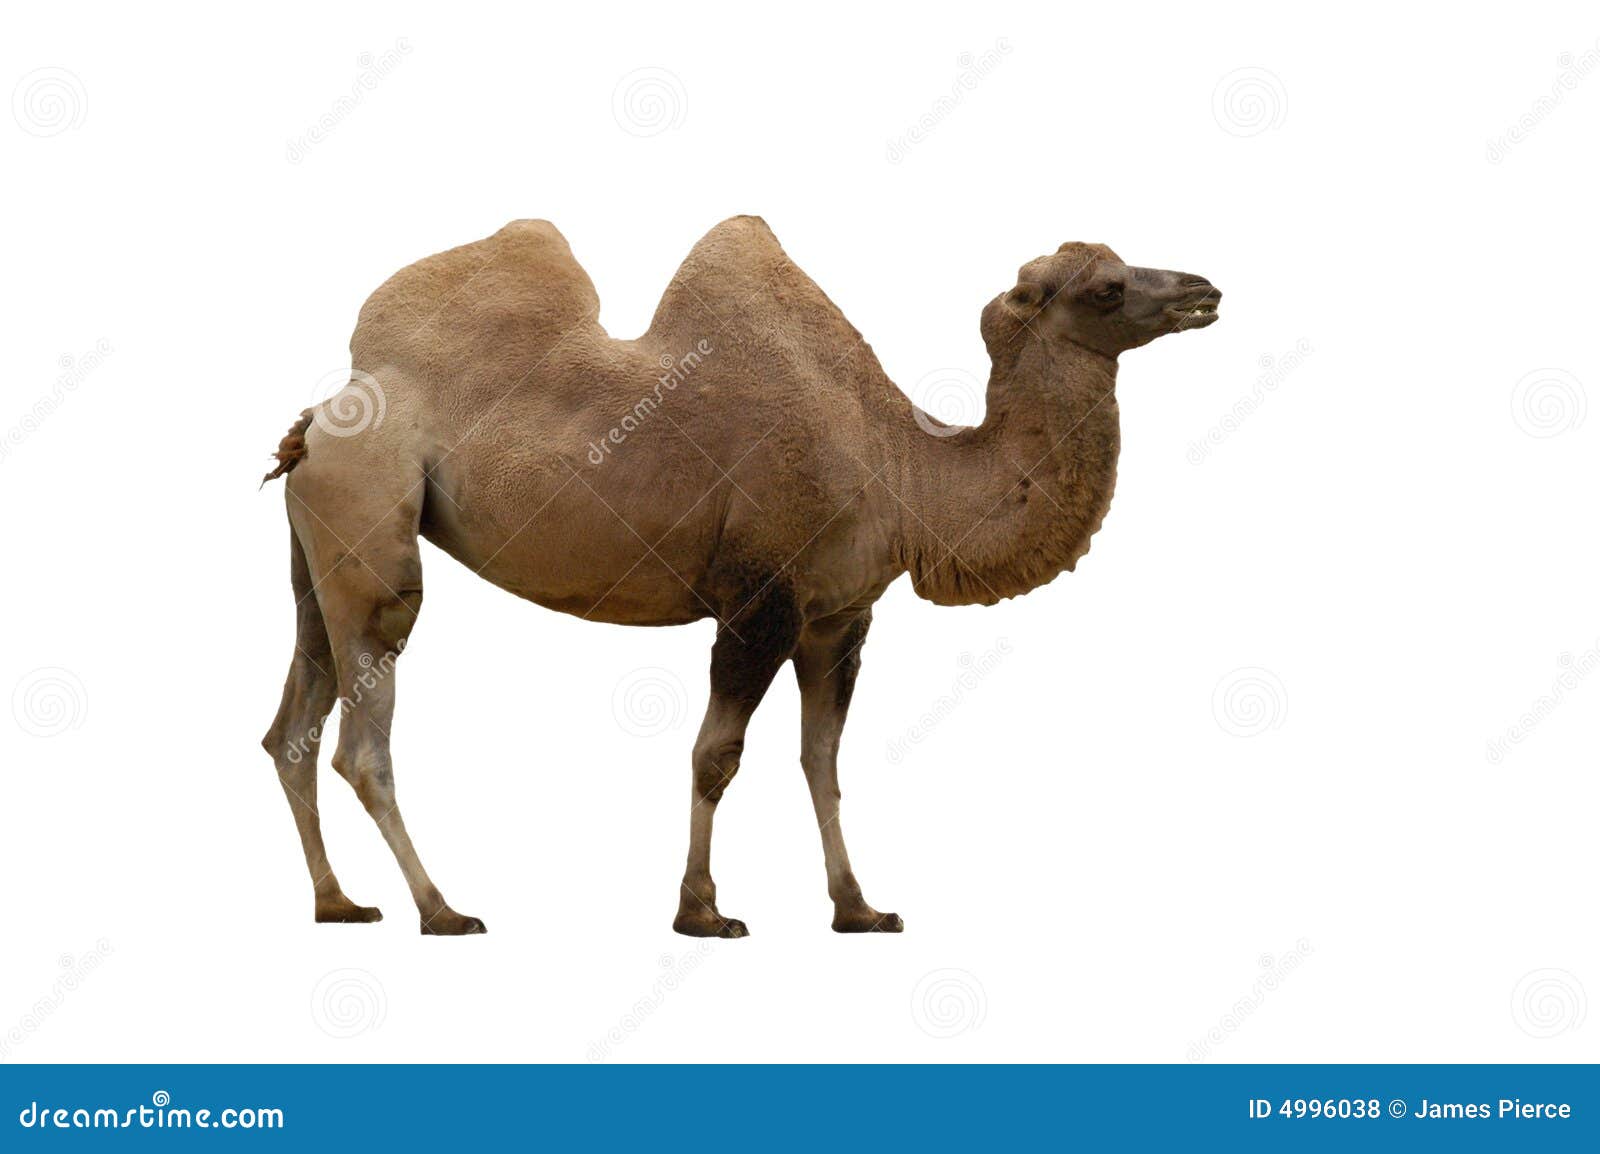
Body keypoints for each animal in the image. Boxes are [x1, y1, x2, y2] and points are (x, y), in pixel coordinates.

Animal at [261, 217, 1220, 936]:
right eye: (1106, 289)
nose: (1204, 291)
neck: (903, 470)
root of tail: (324, 416)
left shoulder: (839, 617)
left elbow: (821, 759)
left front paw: (857, 908)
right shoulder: (760, 598)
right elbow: (716, 755)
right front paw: (702, 912)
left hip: (315, 553)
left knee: (293, 725)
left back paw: (338, 903)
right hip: (373, 527)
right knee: (364, 731)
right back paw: (442, 911)